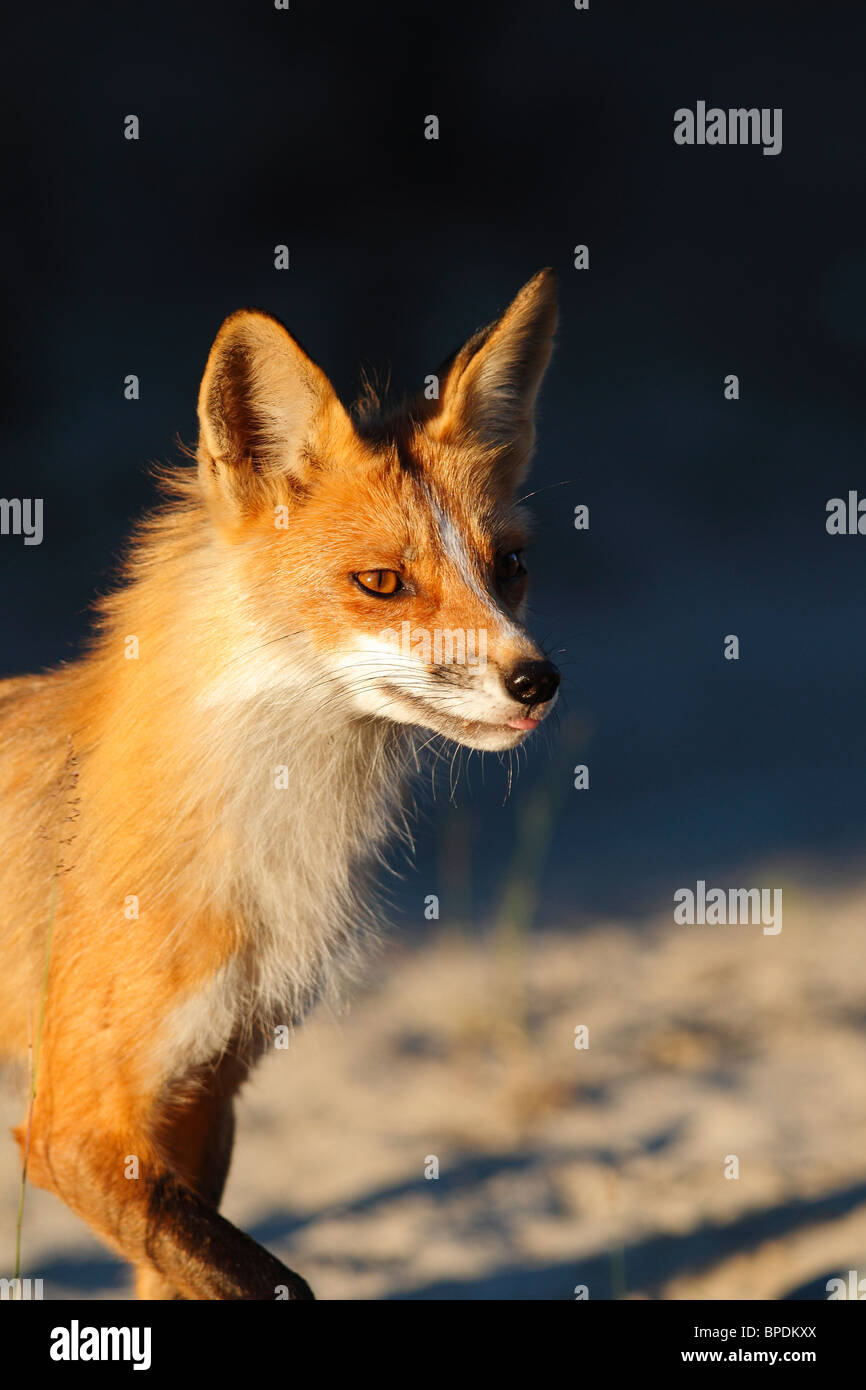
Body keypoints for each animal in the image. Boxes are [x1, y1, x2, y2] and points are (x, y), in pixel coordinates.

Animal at [0, 269, 561, 1300]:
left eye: (509, 567)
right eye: (381, 582)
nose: (537, 680)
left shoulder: (204, 1092)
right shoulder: (74, 1121)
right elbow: (274, 1281)